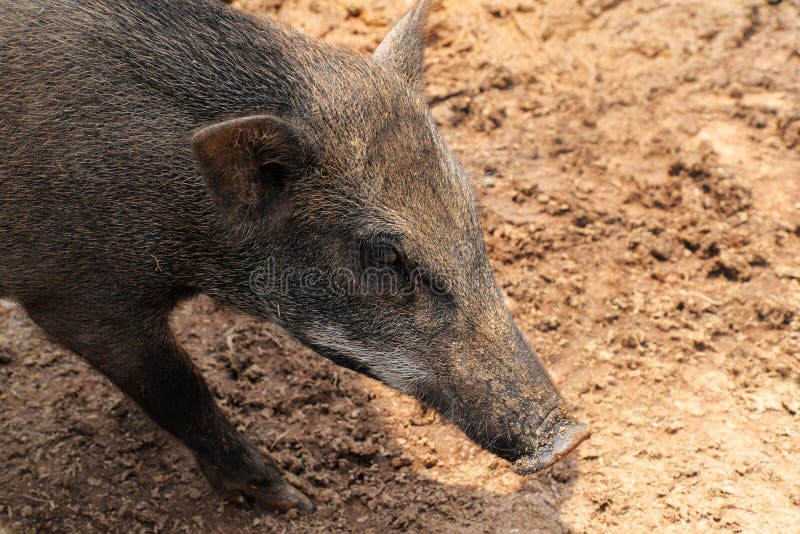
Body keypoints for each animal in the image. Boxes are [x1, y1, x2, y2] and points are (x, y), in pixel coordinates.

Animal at [0, 0, 590, 513]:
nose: (570, 437)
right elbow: (183, 393)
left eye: (470, 205)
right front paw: (297, 500)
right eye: (384, 254)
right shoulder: (77, 298)